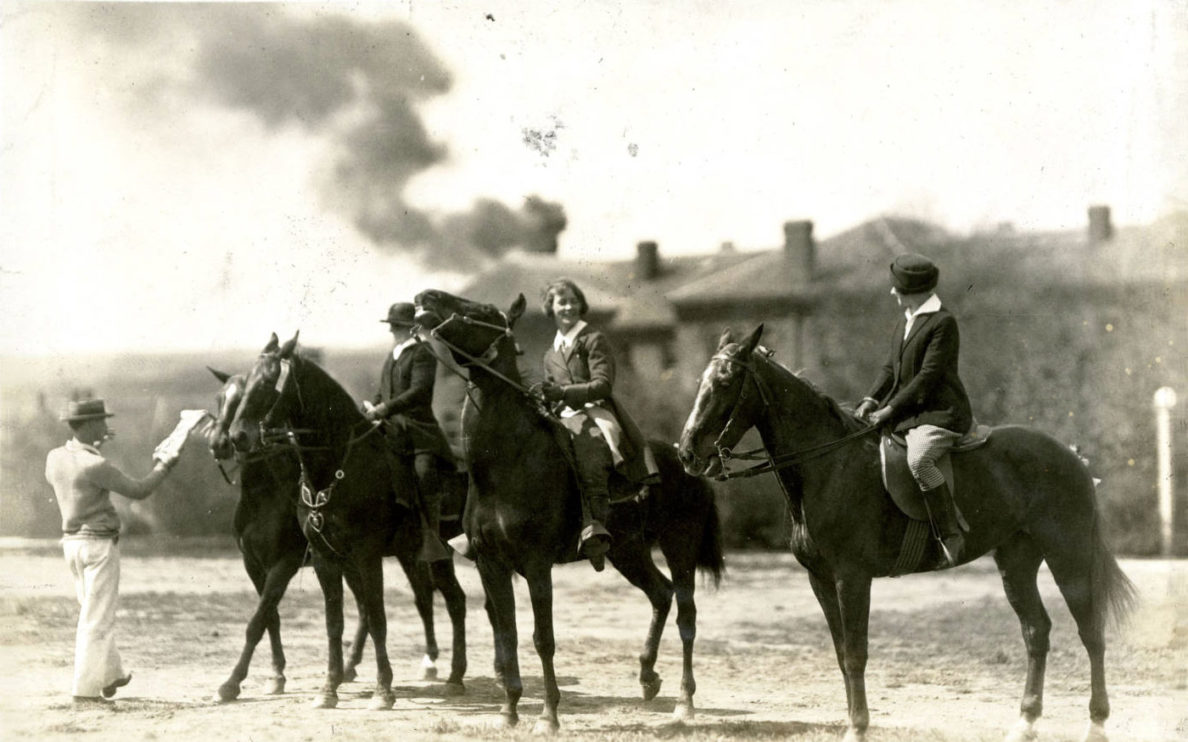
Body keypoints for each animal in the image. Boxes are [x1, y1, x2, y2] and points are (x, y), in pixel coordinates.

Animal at [227, 333, 467, 708]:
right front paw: (327, 689)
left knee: (454, 602)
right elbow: (330, 622)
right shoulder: (323, 558)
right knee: (435, 600)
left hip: (438, 554)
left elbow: (377, 617)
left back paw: (454, 676)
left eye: (267, 382)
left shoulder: (358, 556)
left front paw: (383, 690)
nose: (237, 436)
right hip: (409, 554)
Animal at [413, 289, 725, 733]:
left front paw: (548, 715)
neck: (507, 462)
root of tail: (689, 464)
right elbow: (506, 632)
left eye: (482, 310)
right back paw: (647, 677)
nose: (425, 297)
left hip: (680, 548)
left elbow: (542, 638)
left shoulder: (536, 564)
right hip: (627, 551)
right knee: (660, 595)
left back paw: (684, 702)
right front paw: (509, 709)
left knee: (686, 615)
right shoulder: (491, 565)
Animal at [677, 325, 1136, 742]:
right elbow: (842, 654)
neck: (827, 465)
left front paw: (857, 728)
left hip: (1068, 557)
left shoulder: (852, 578)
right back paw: (1025, 722)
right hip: (1016, 561)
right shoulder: (820, 580)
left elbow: (856, 654)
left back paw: (1096, 723)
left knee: (1091, 633)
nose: (687, 453)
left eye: (725, 383)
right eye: (699, 382)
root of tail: (1071, 456)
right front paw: (853, 722)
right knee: (1036, 631)